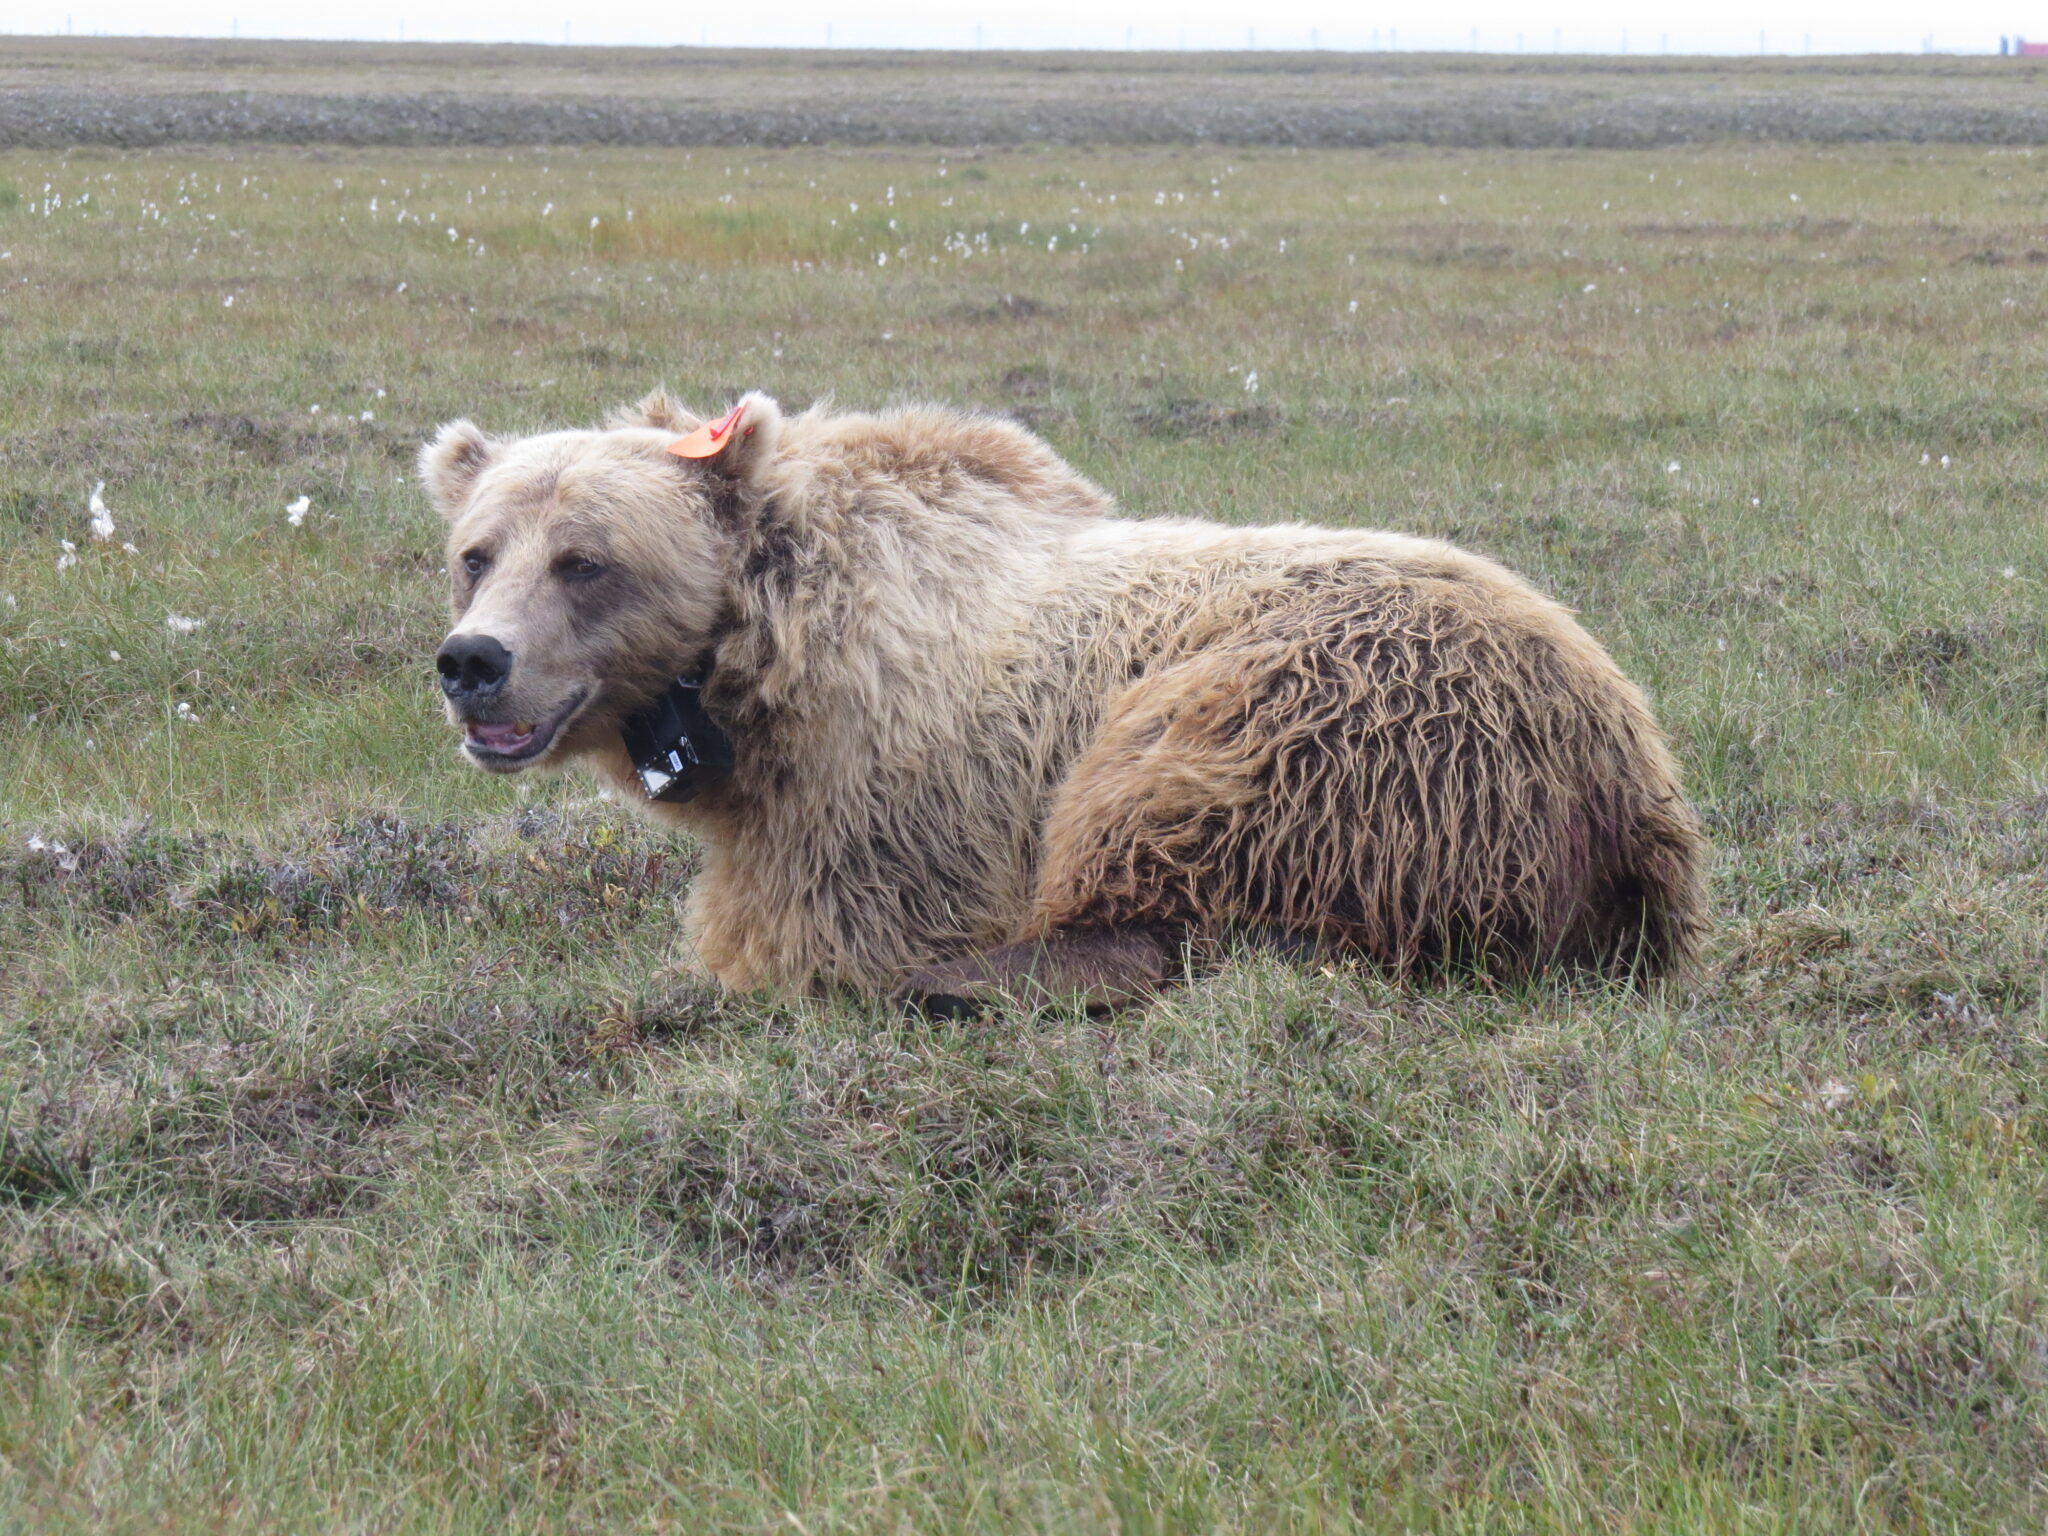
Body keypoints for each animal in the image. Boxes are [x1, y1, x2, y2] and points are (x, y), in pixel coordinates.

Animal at [422, 390, 1708, 1011]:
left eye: (586, 561)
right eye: (476, 553)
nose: (472, 661)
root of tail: (1625, 764)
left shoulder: (879, 795)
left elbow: (804, 935)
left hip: (1324, 705)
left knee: (1171, 849)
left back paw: (968, 983)